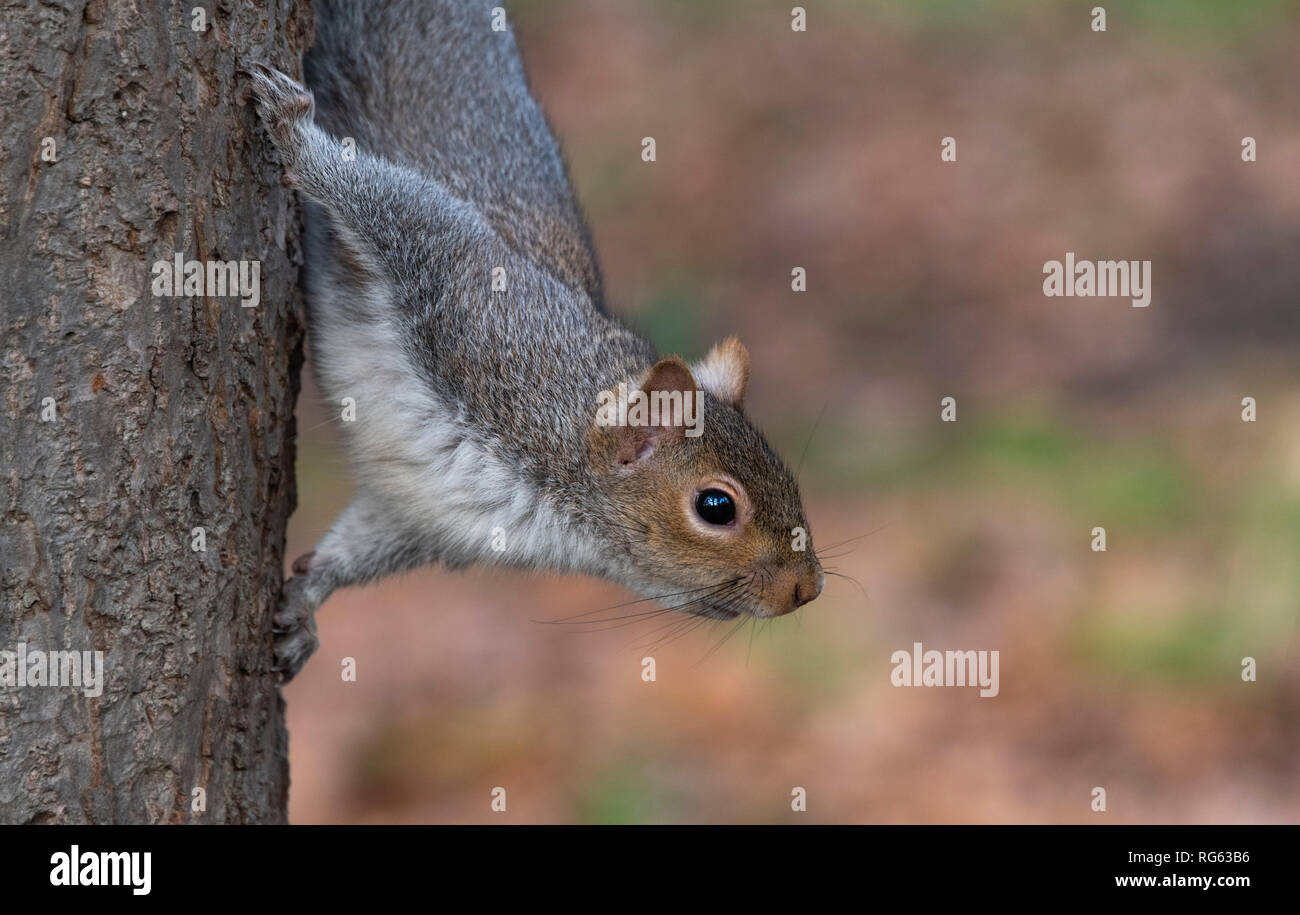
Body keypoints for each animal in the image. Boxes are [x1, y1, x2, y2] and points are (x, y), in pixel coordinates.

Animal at [247, 0, 823, 681]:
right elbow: (398, 207)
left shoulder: (421, 510)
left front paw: (304, 606)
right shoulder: (479, 310)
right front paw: (297, 137)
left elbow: (360, 545)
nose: (808, 588)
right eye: (716, 507)